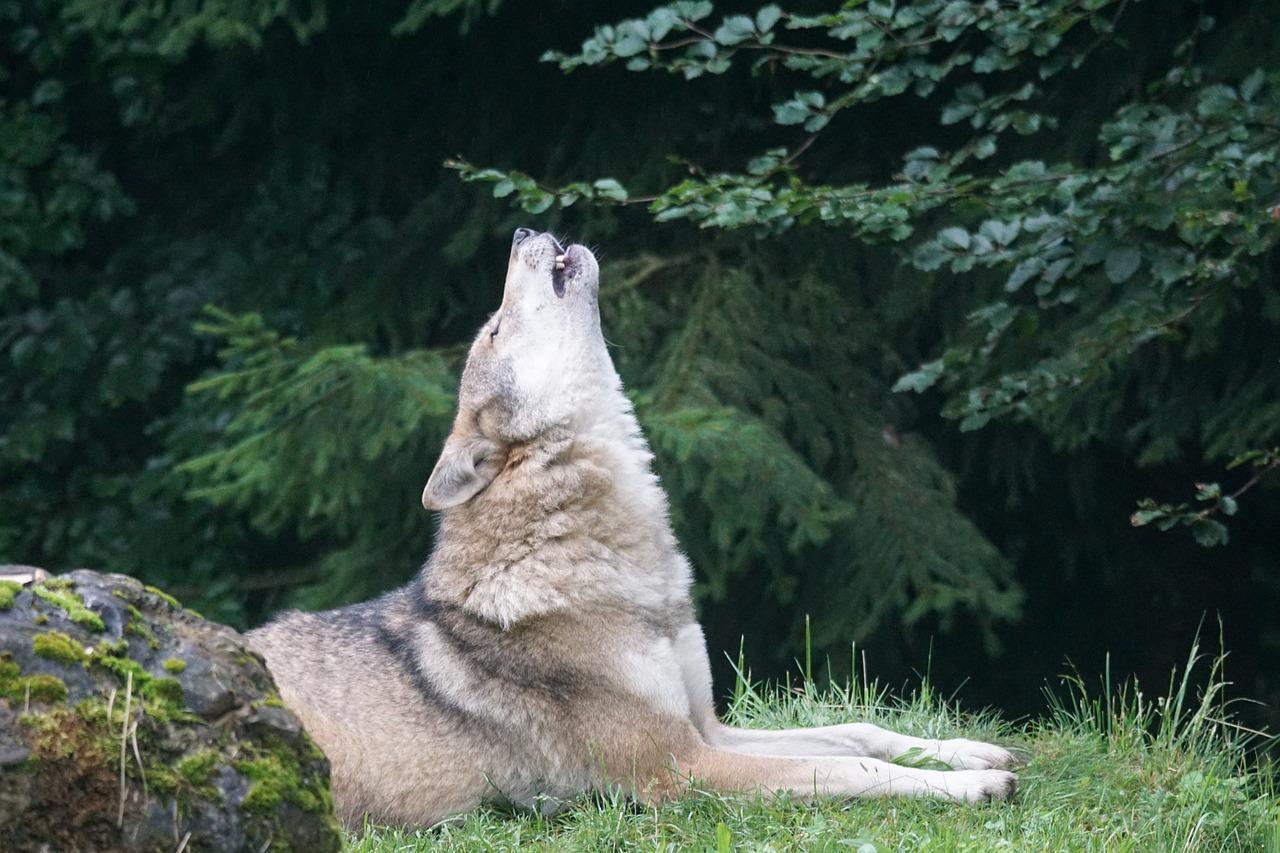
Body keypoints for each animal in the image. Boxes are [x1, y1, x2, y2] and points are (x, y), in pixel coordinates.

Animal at [249, 228, 1018, 827]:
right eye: (493, 330)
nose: (523, 229)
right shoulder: (678, 768)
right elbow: (847, 769)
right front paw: (973, 785)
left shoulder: (707, 727)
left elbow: (856, 731)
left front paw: (969, 751)